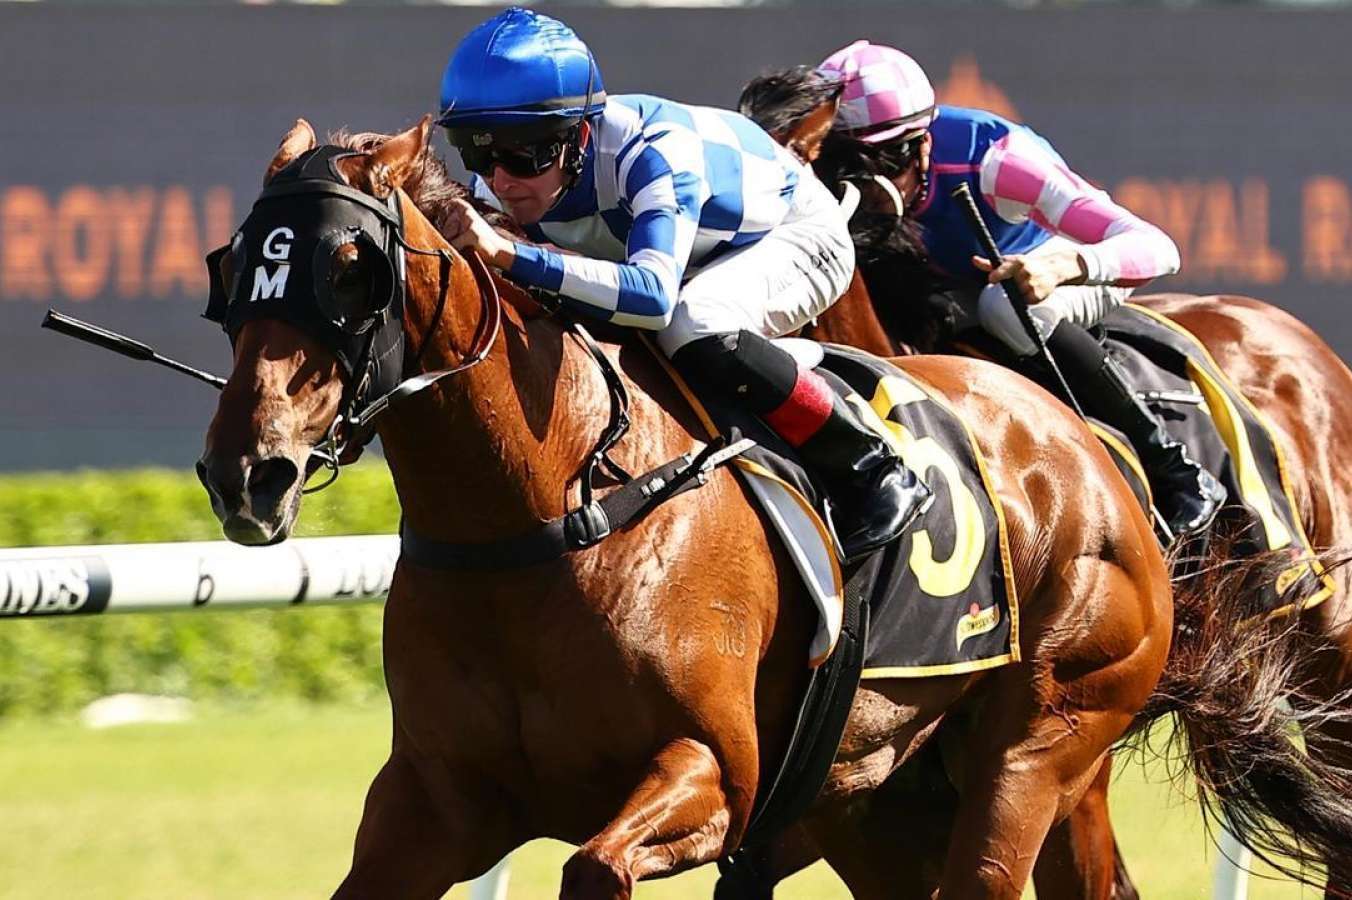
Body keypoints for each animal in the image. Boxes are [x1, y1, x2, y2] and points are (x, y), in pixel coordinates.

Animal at [195, 117, 1345, 899]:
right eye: (236, 262)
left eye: (352, 267)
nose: (247, 471)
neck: (544, 519)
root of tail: (1083, 449)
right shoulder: (432, 804)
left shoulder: (717, 776)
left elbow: (598, 867)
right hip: (898, 795)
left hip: (1046, 738)